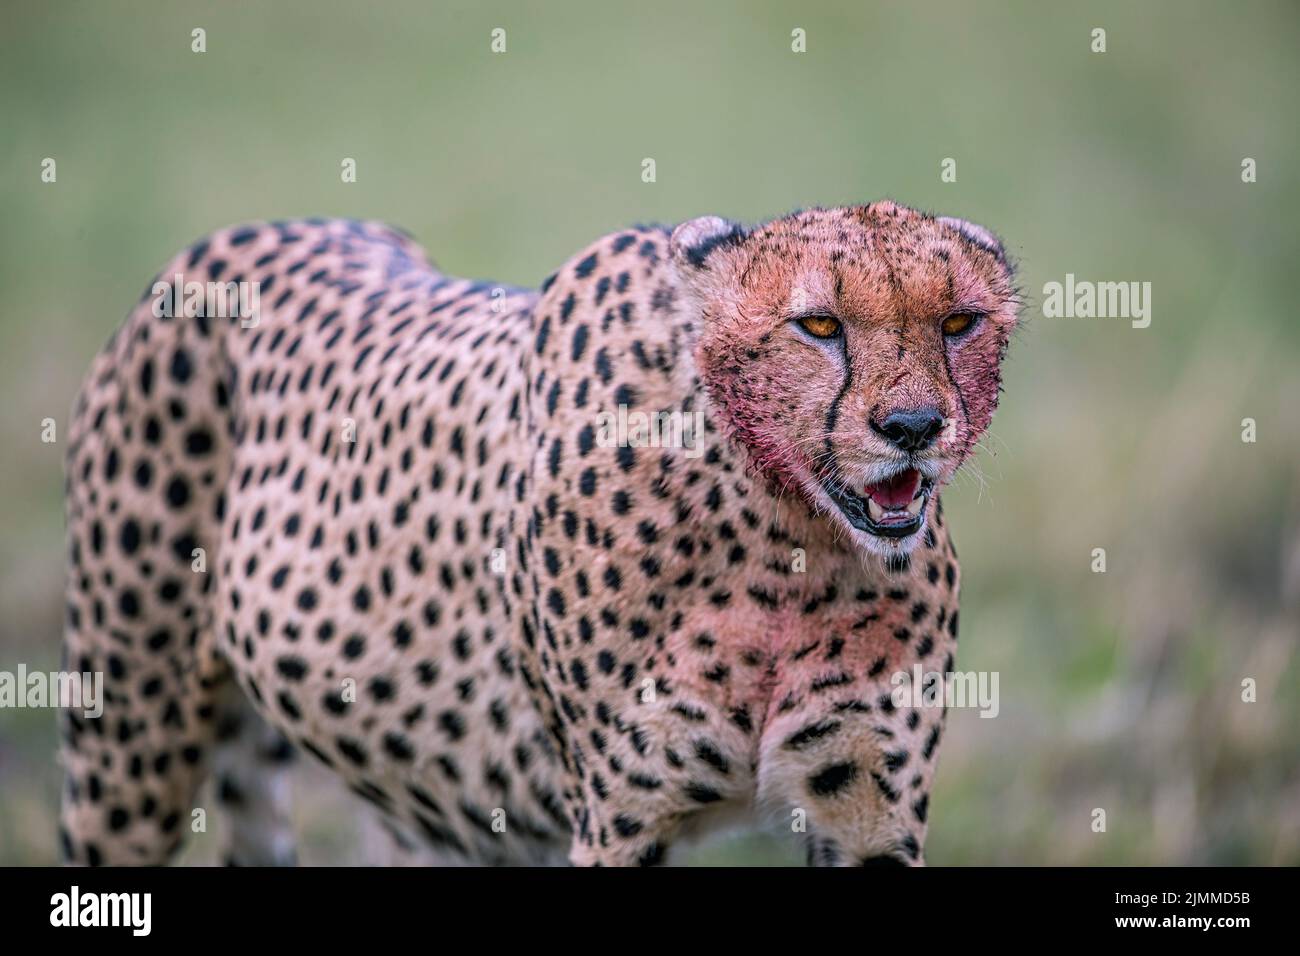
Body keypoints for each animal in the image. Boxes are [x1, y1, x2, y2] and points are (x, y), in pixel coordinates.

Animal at [58, 201, 1018, 866]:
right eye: (819, 325)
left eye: (957, 322)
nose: (913, 426)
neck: (786, 537)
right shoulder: (619, 820)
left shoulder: (866, 814)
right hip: (127, 754)